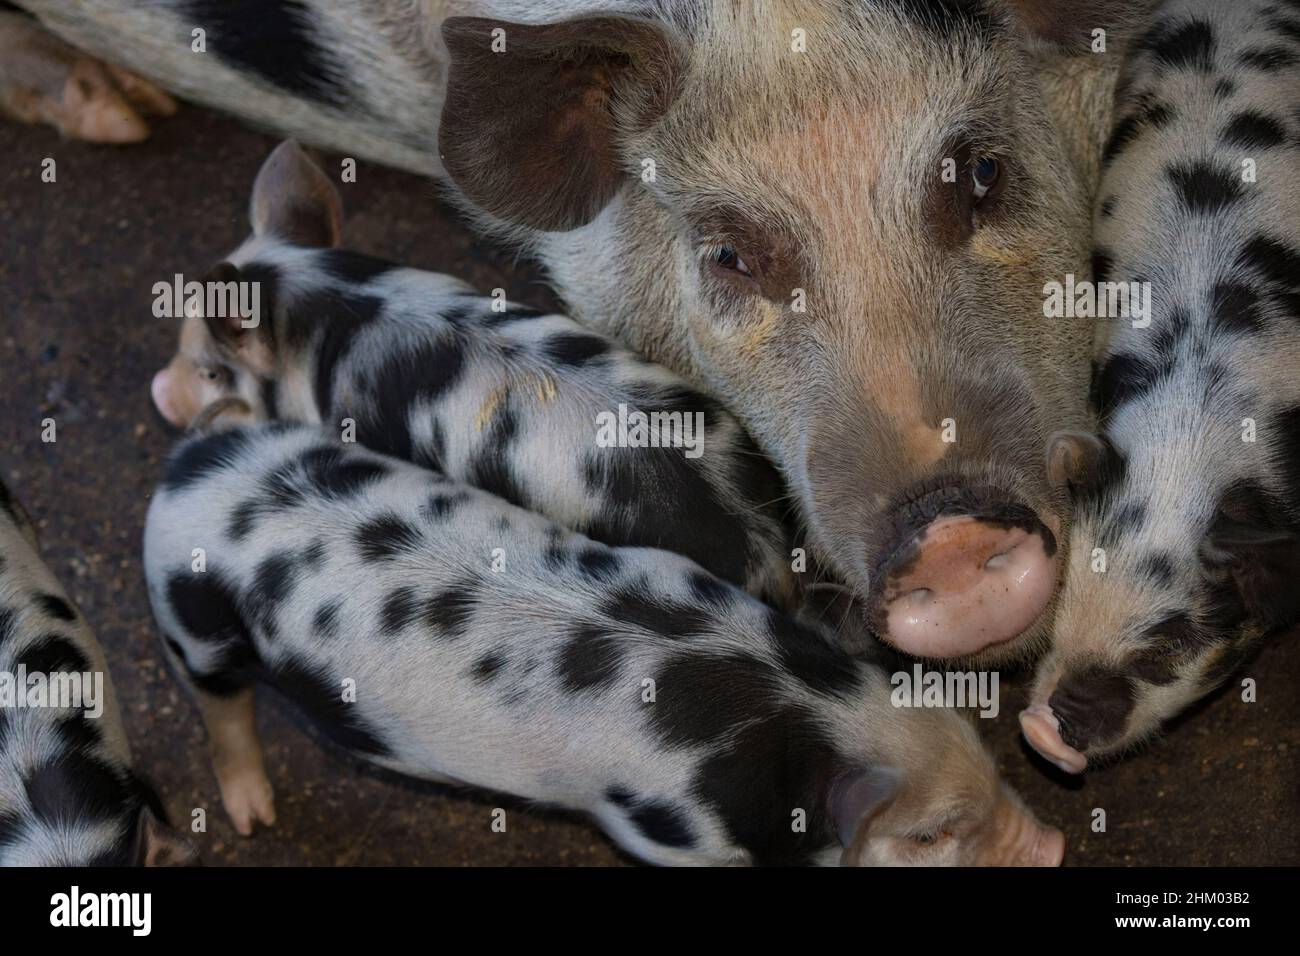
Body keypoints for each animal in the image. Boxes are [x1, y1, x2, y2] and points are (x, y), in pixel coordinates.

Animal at [143, 420, 1065, 866]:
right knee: (221, 707)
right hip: (192, 621)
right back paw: (253, 813)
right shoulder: (662, 830)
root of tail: (189, 464)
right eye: (928, 836)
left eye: (987, 761)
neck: (796, 709)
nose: (1054, 847)